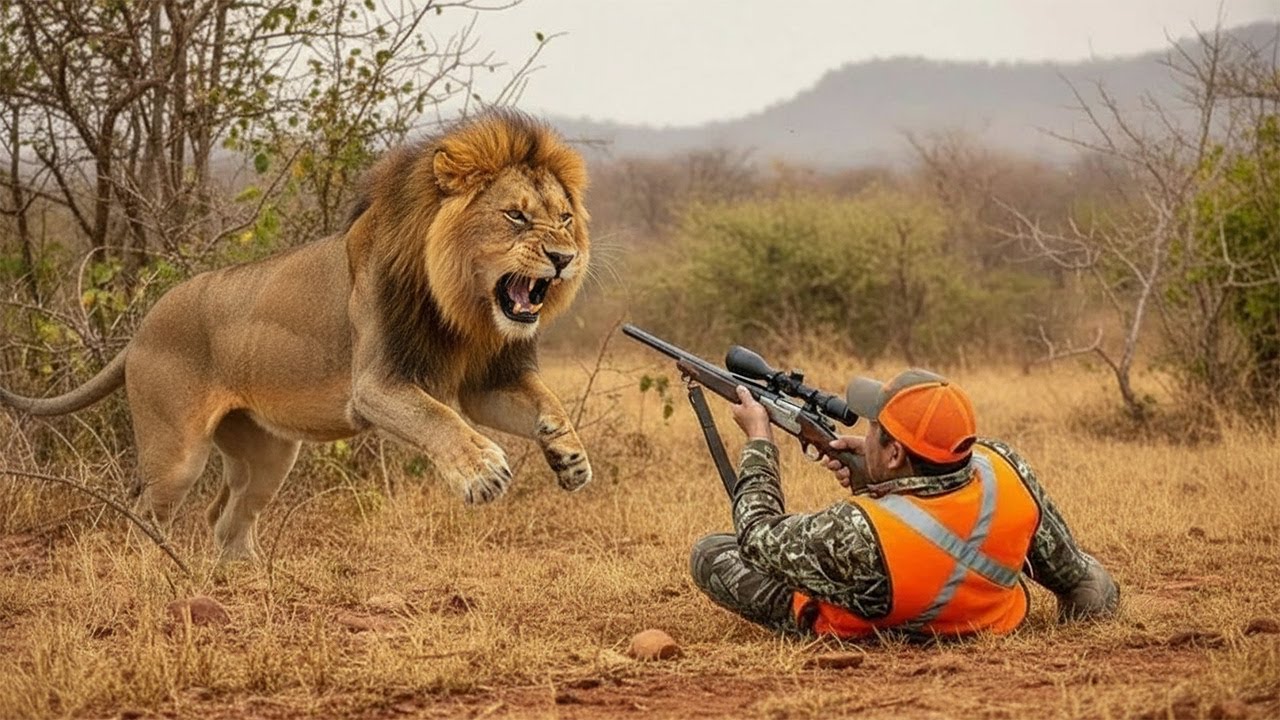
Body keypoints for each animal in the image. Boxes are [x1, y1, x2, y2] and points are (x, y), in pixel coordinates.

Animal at [0, 110, 594, 561]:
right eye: (515, 216)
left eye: (565, 219)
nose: (564, 258)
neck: (464, 310)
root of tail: (140, 329)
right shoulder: (375, 385)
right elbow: (436, 418)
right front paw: (481, 472)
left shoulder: (483, 382)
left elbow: (545, 401)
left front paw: (568, 454)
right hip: (176, 453)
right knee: (145, 511)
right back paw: (156, 570)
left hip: (266, 455)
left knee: (225, 518)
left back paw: (250, 579)